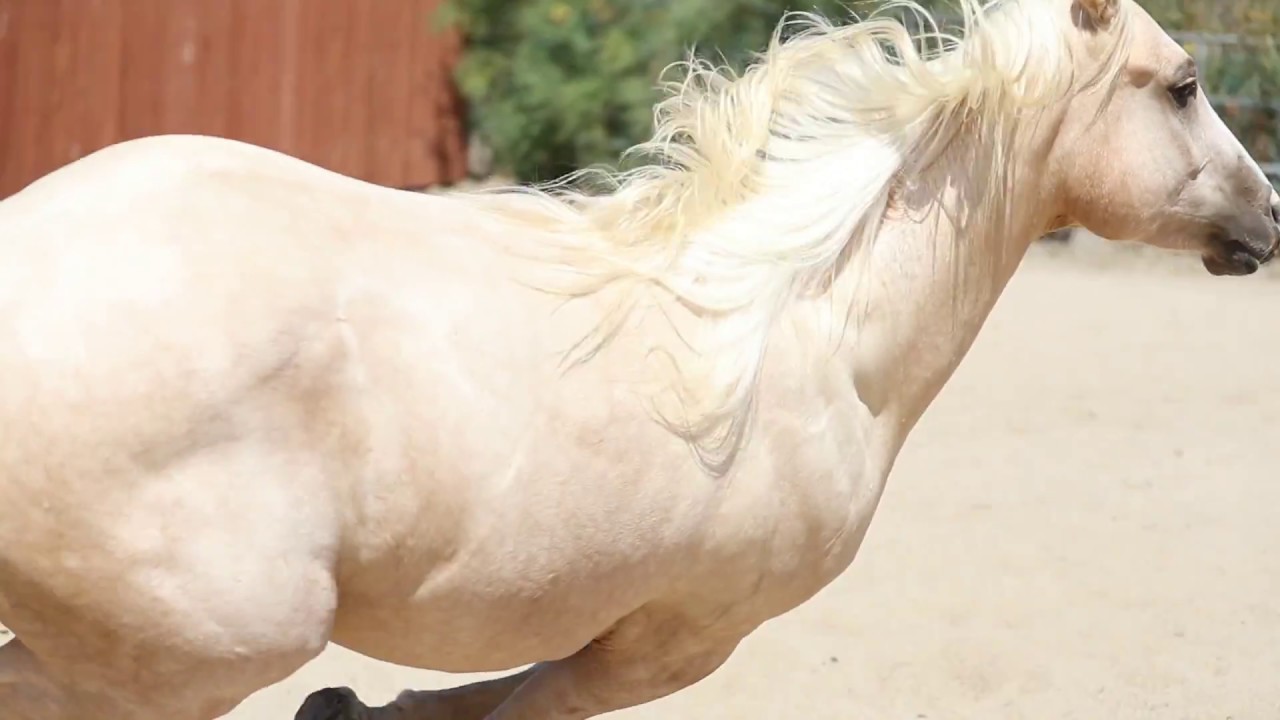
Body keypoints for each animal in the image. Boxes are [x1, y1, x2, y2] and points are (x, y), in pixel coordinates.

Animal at [0, 0, 1276, 717]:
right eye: (1184, 85)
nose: (1264, 218)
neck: (813, 339)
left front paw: (351, 710)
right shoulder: (670, 644)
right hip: (195, 656)